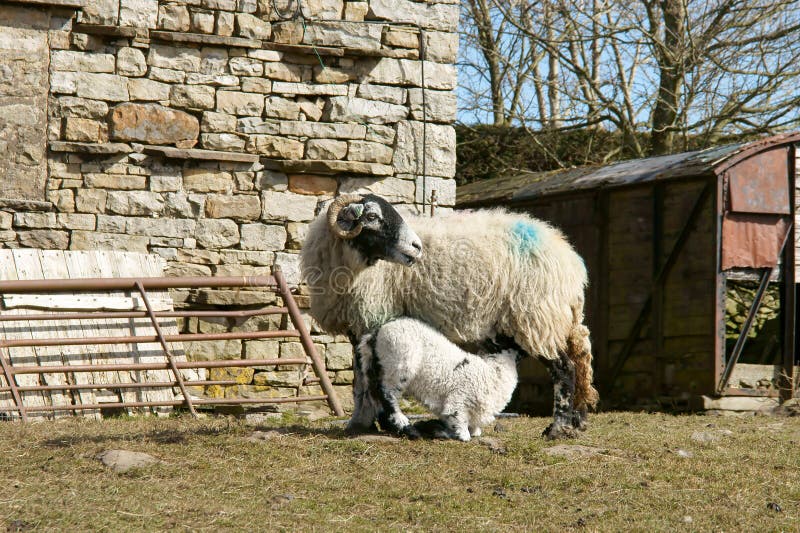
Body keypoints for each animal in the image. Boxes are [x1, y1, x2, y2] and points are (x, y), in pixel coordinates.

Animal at [356, 317, 520, 441]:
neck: (493, 371)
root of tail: (375, 335)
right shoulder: (458, 401)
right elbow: (462, 431)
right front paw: (437, 429)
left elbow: (474, 431)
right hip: (399, 361)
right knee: (386, 393)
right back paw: (408, 427)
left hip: (380, 366)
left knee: (375, 394)